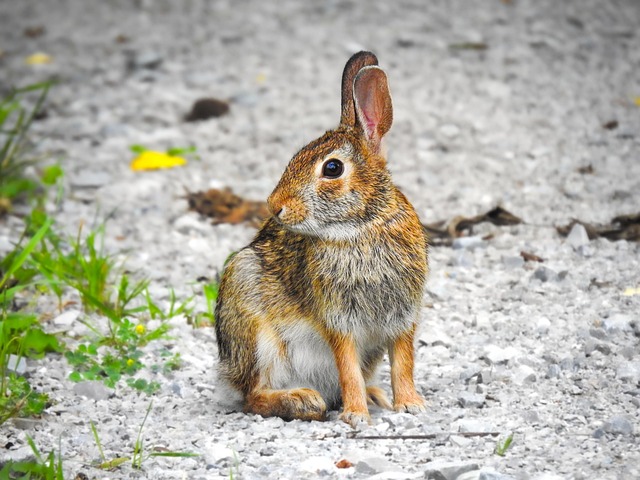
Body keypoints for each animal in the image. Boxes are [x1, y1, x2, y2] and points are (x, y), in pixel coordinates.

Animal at [214, 51, 428, 427]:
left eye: (332, 169)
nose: (275, 205)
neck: (361, 226)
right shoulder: (338, 321)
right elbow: (348, 369)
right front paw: (356, 416)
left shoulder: (403, 317)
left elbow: (403, 363)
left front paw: (410, 405)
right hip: (253, 326)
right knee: (254, 396)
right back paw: (301, 400)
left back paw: (374, 395)